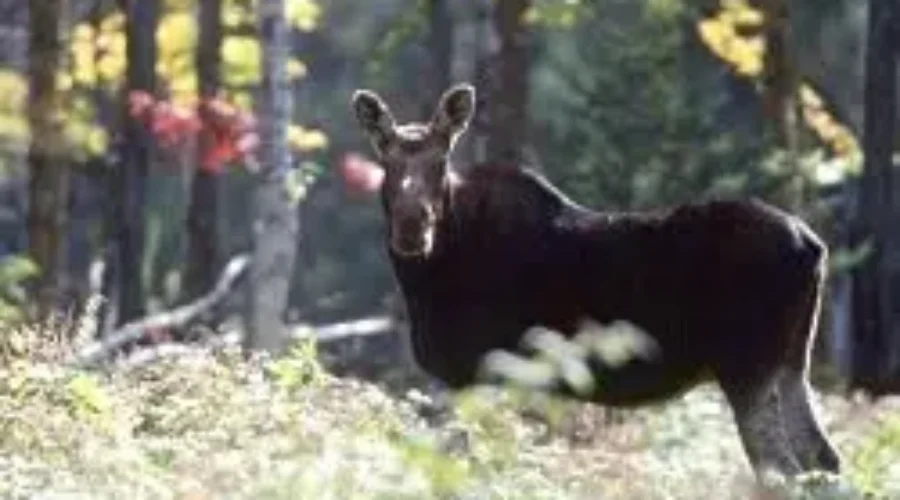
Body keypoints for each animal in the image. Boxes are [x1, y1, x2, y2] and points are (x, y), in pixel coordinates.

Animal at [350, 82, 842, 480]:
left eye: (442, 158)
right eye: (384, 157)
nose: (412, 225)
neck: (426, 280)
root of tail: (815, 246)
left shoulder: (475, 373)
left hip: (745, 363)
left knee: (781, 470)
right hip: (792, 363)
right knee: (823, 459)